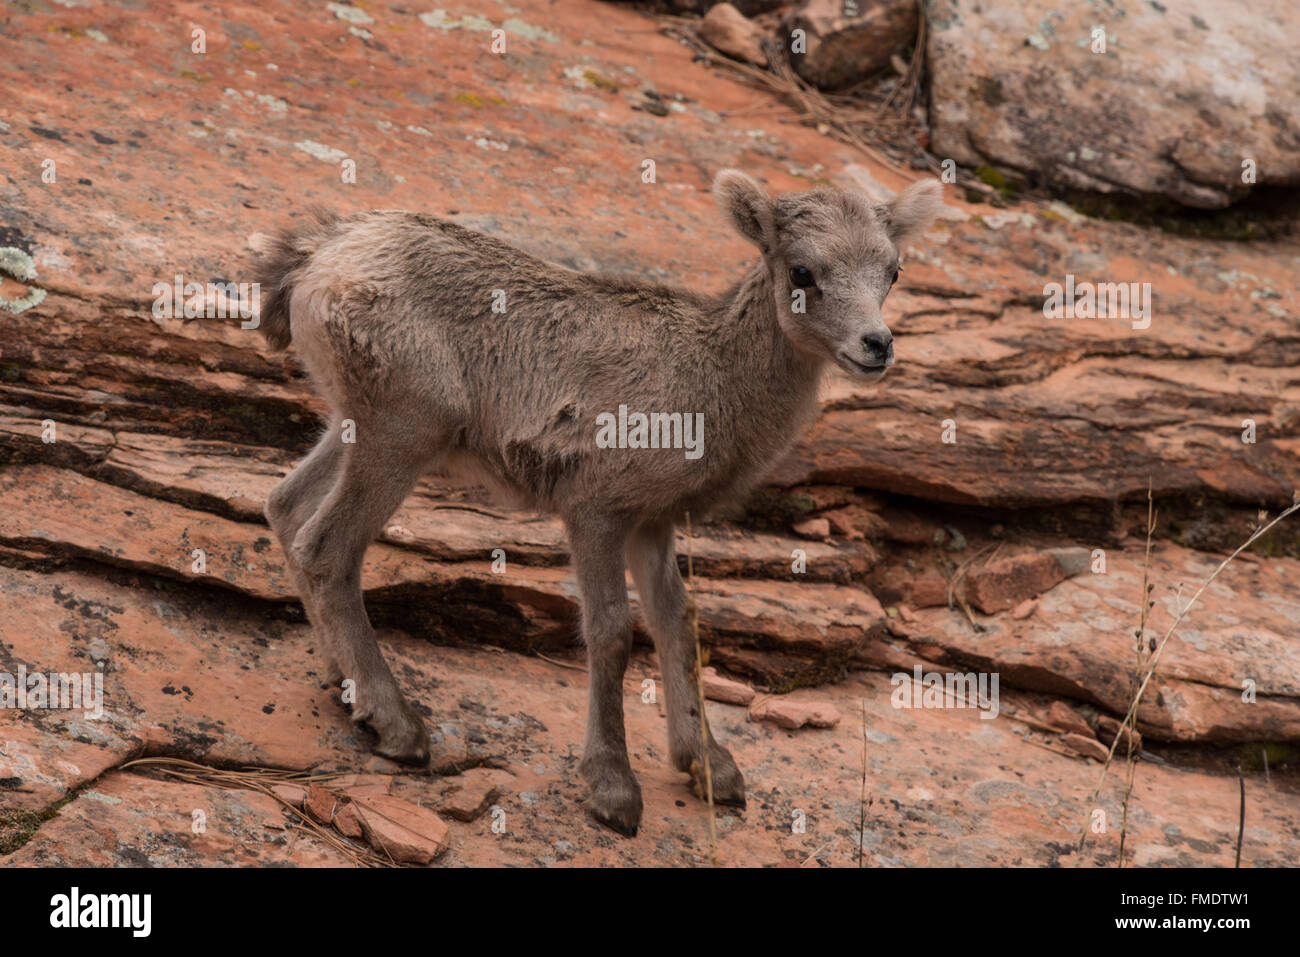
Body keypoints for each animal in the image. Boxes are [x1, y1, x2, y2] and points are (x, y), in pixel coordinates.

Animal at [256, 170, 943, 835]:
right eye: (802, 271)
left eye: (893, 270)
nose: (876, 345)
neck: (713, 386)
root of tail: (315, 257)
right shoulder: (595, 511)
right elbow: (611, 630)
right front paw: (614, 790)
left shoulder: (654, 524)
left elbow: (678, 621)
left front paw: (711, 769)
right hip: (402, 431)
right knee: (327, 548)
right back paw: (396, 725)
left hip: (355, 425)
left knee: (286, 508)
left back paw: (343, 686)